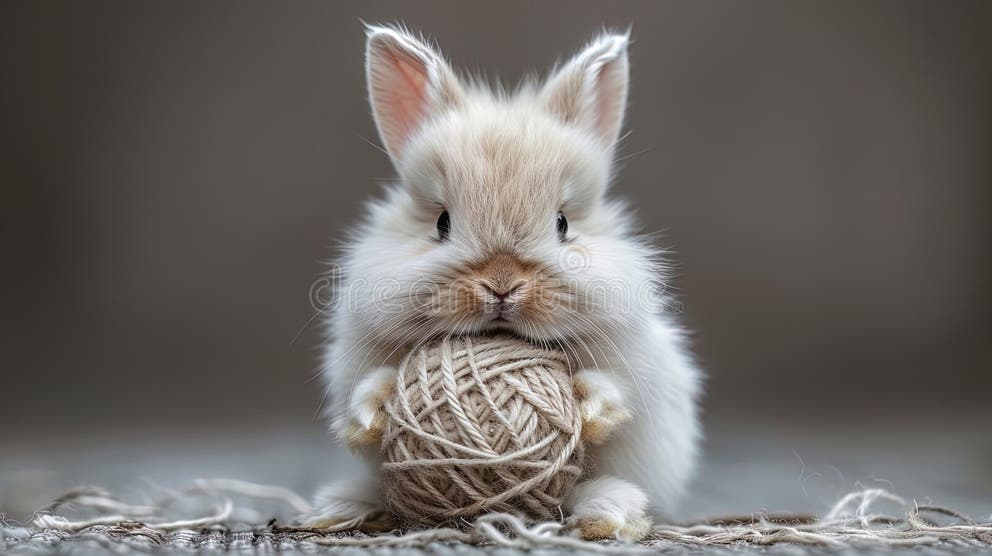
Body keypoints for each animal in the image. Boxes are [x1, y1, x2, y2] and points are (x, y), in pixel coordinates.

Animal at [303, 24, 702, 541]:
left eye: (562, 223)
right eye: (442, 223)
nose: (501, 285)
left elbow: (609, 388)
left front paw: (594, 411)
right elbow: (374, 384)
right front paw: (368, 417)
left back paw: (604, 517)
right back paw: (342, 509)